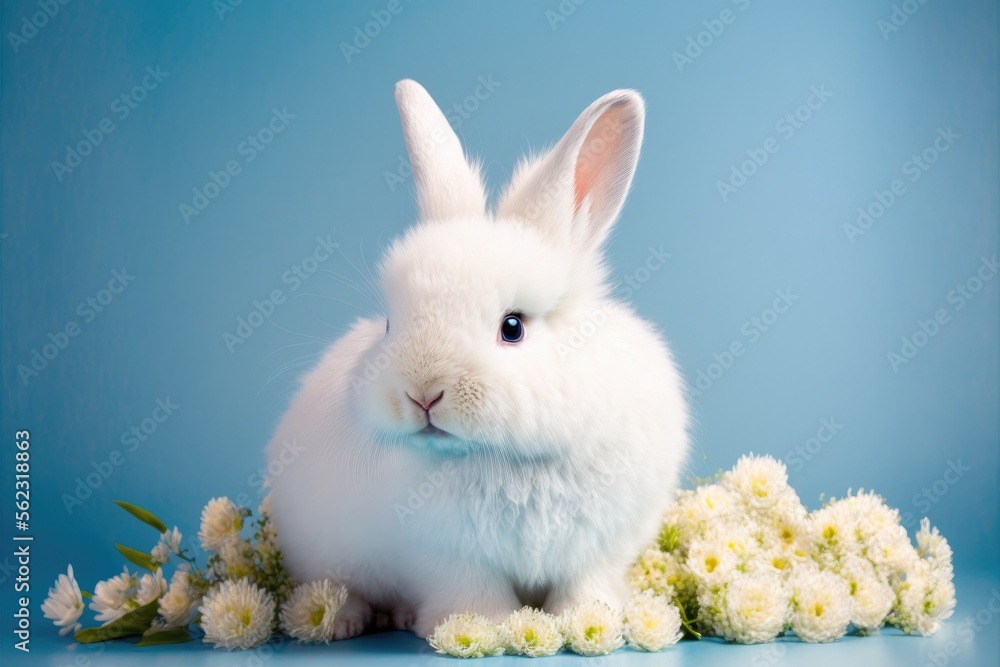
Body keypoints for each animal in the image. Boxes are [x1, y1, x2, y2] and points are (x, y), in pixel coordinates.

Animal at [265, 79, 689, 640]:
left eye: (513, 327)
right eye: (390, 324)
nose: (422, 393)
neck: (508, 456)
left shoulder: (600, 547)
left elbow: (584, 584)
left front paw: (592, 623)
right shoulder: (443, 555)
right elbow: (471, 590)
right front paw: (478, 628)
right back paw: (343, 621)